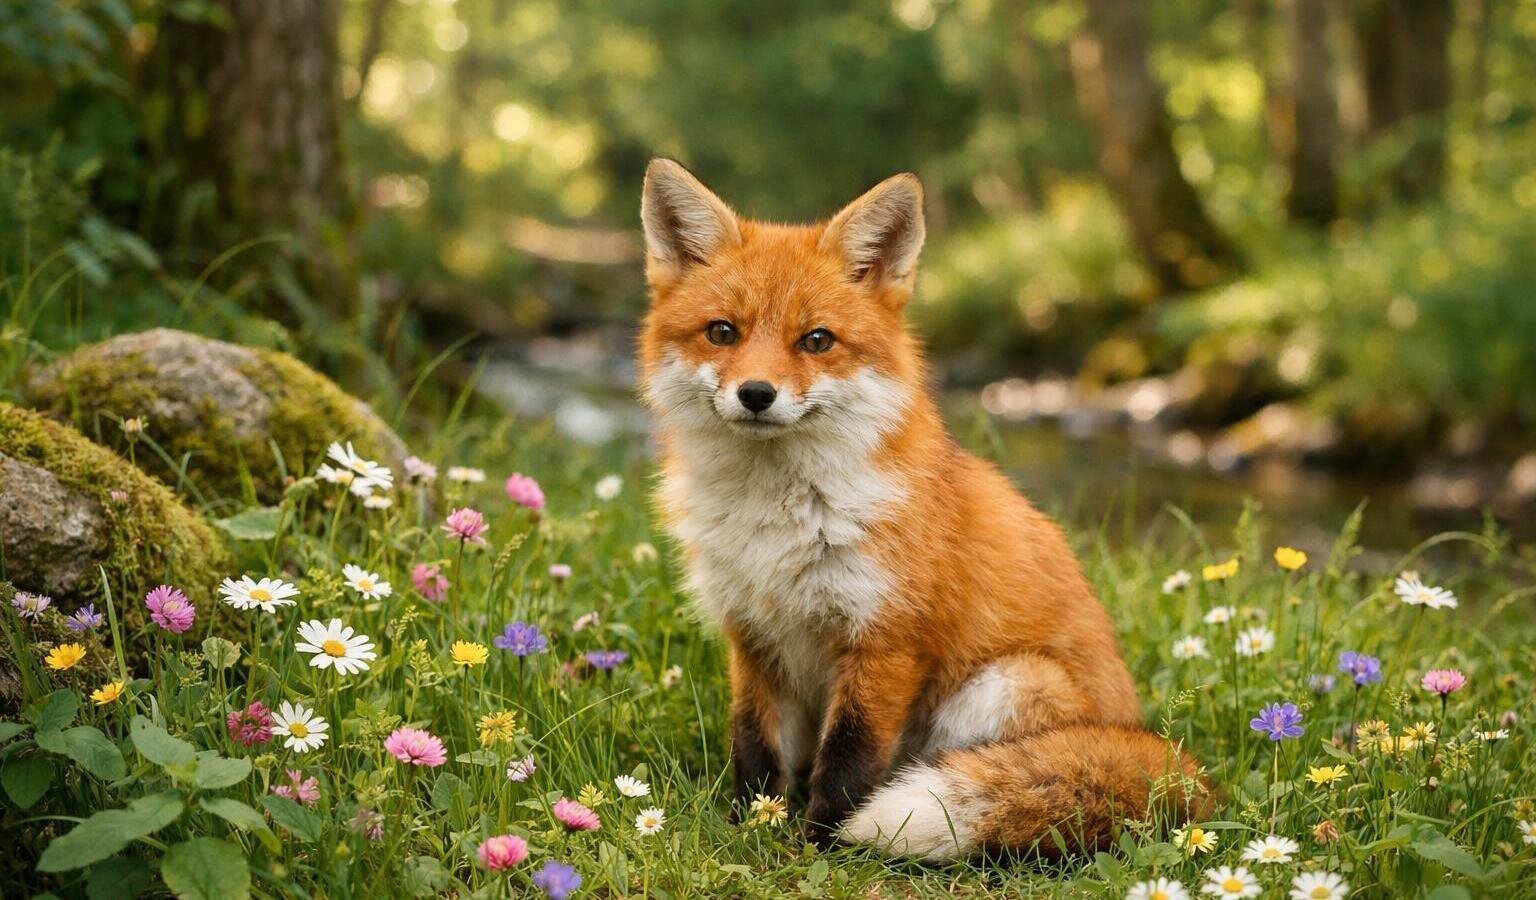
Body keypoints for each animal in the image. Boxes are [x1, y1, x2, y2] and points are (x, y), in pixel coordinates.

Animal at [636, 158, 1209, 859]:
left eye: (816, 340)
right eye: (723, 332)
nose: (756, 394)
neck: (777, 522)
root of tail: (1148, 740)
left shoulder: (884, 639)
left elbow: (848, 760)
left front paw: (824, 842)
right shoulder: (754, 636)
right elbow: (755, 749)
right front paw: (752, 825)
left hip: (1007, 686)